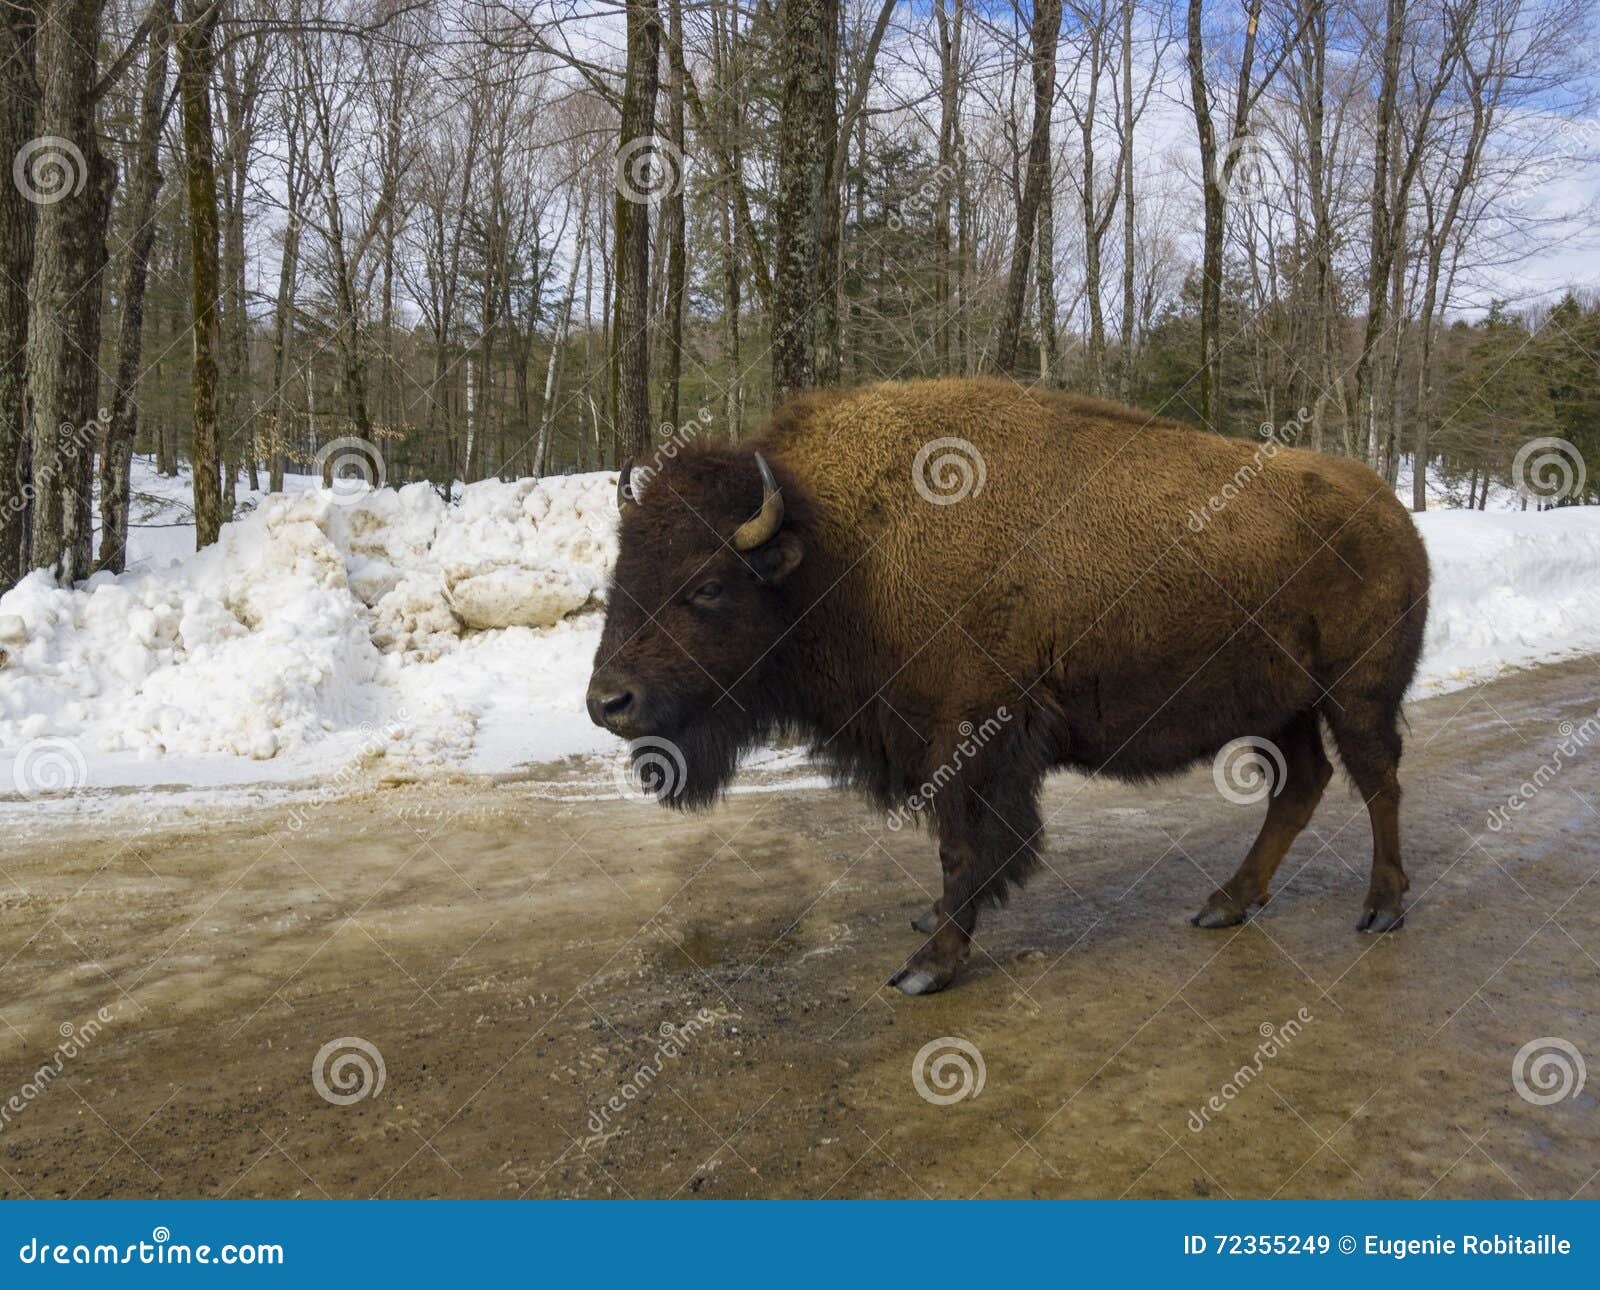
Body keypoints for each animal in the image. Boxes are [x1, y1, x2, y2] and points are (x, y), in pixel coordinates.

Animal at [587, 379, 1429, 994]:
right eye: (622, 570)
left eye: (706, 586)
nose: (607, 703)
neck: (843, 550)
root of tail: (1391, 512)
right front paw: (930, 927)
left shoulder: (971, 738)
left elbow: (964, 847)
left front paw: (927, 967)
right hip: (1279, 709)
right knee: (1301, 788)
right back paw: (1225, 904)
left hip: (1355, 696)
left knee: (1379, 782)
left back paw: (1382, 910)